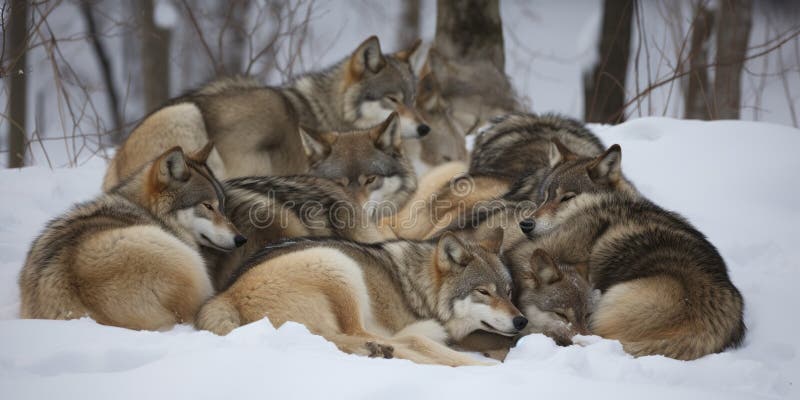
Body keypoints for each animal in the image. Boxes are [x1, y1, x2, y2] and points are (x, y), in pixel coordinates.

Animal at [102, 36, 427, 190]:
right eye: (392, 99)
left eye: (413, 99)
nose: (425, 129)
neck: (329, 114)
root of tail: (115, 162)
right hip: (187, 115)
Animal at [195, 228, 529, 366]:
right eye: (483, 292)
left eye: (508, 291)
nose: (521, 320)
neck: (420, 290)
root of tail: (226, 296)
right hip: (338, 265)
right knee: (393, 340)